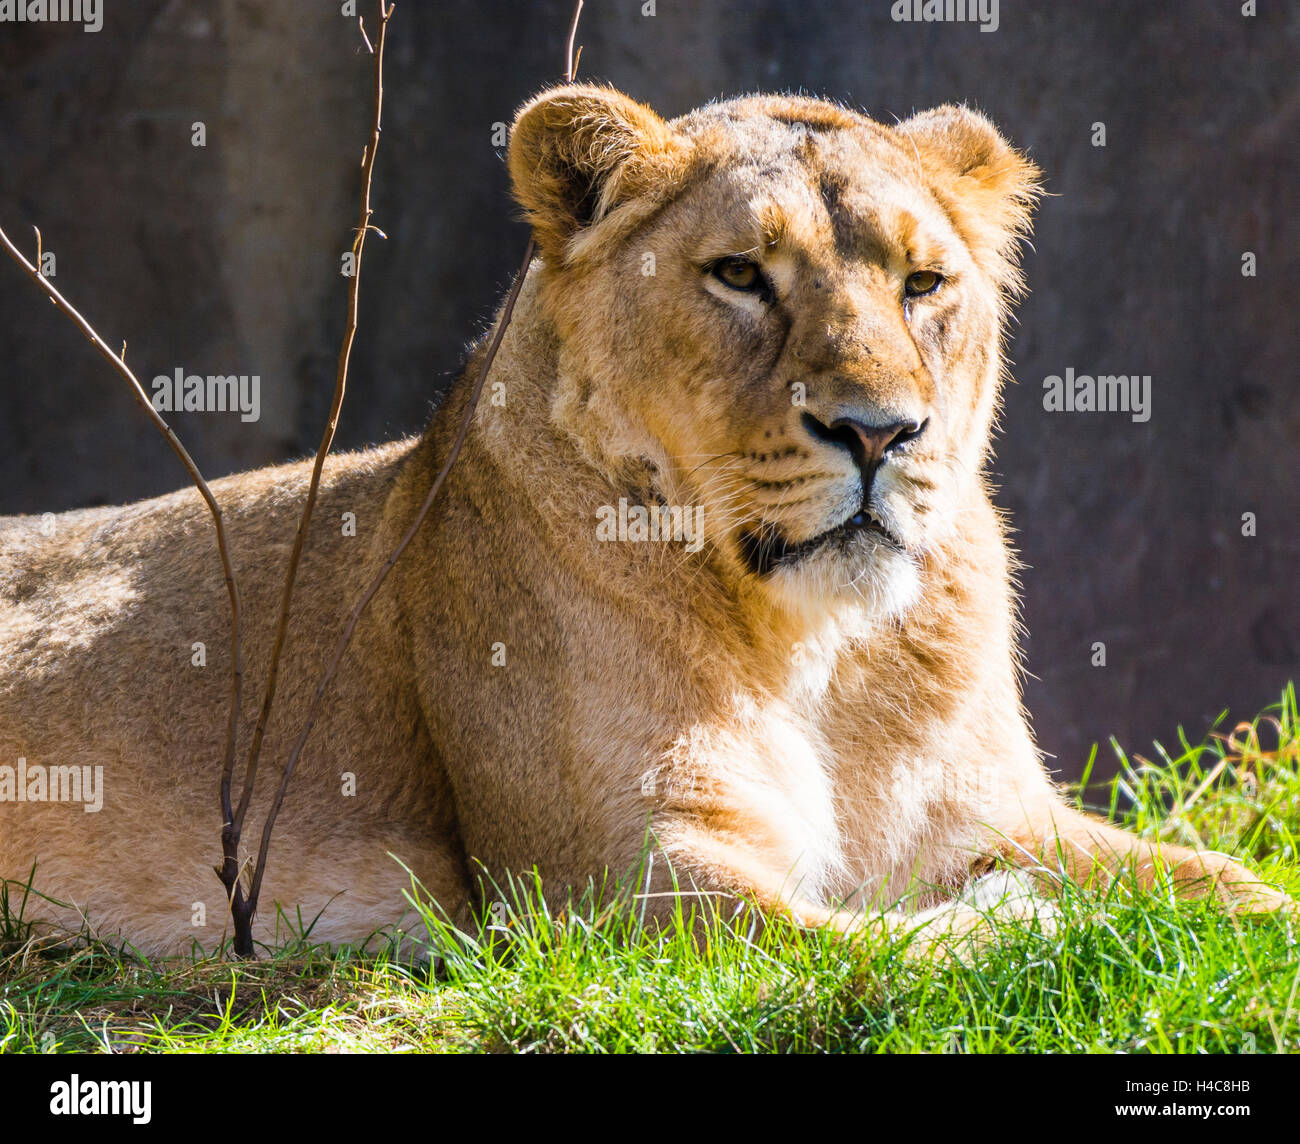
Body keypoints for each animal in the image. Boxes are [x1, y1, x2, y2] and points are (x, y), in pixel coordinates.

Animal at [0, 84, 1292, 958]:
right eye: (739, 275)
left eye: (923, 284)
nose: (879, 433)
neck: (818, 647)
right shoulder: (607, 881)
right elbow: (882, 943)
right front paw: (1015, 920)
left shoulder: (998, 811)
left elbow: (1229, 884)